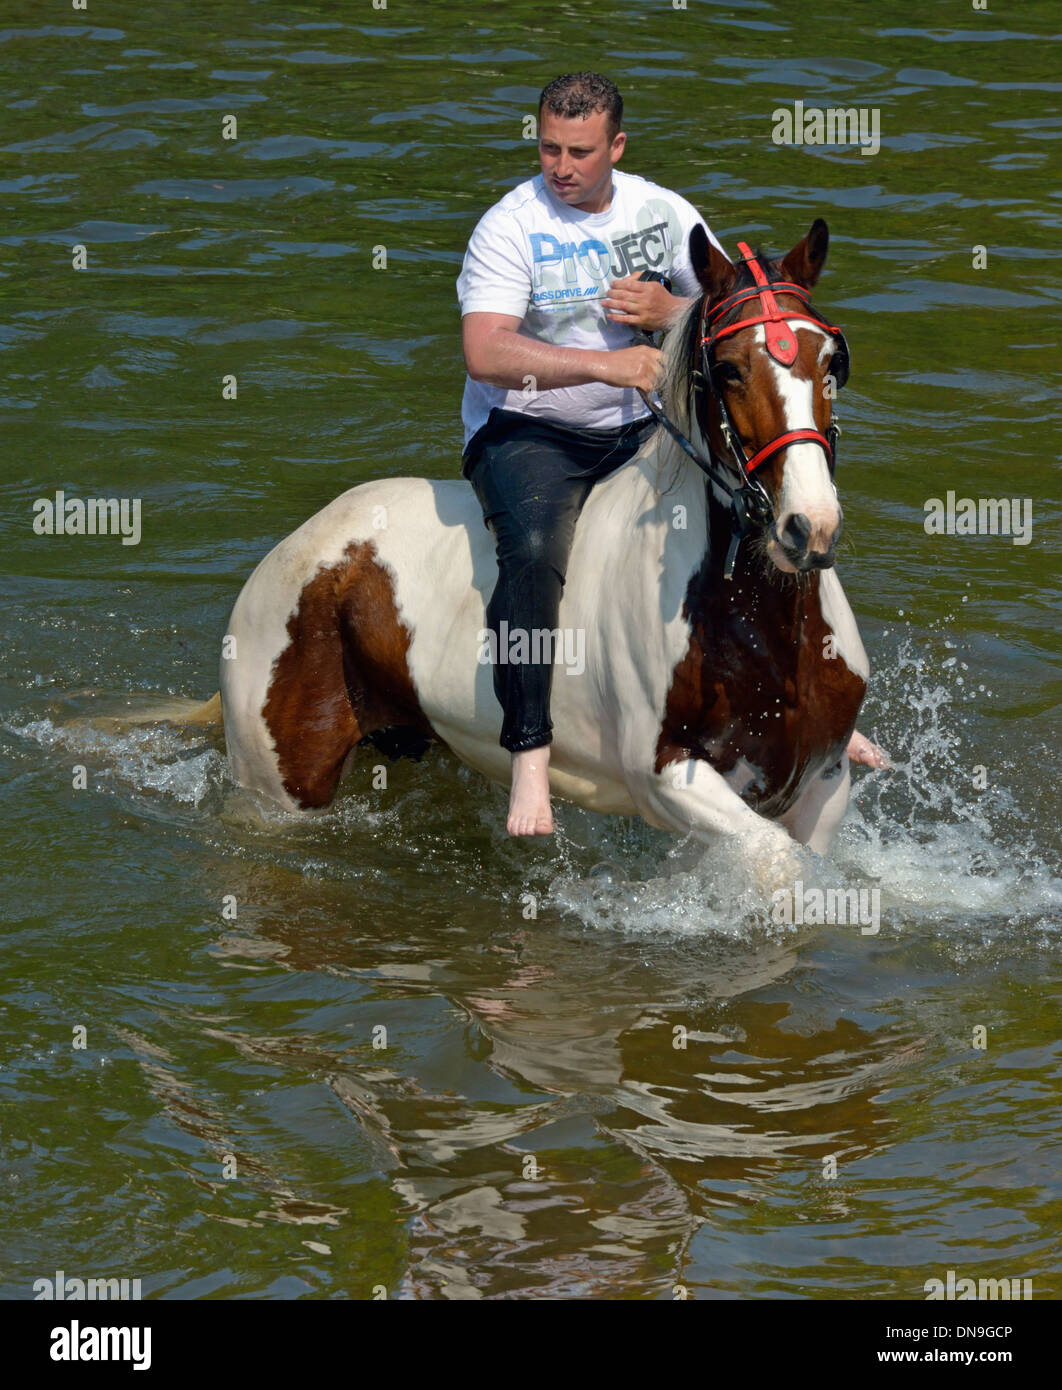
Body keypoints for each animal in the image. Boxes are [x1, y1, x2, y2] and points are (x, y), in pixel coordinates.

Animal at [219, 218, 867, 877]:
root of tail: (297, 548)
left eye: (831, 362)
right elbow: (776, 860)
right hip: (278, 790)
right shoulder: (667, 779)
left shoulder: (823, 780)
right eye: (729, 369)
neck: (757, 628)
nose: (807, 527)